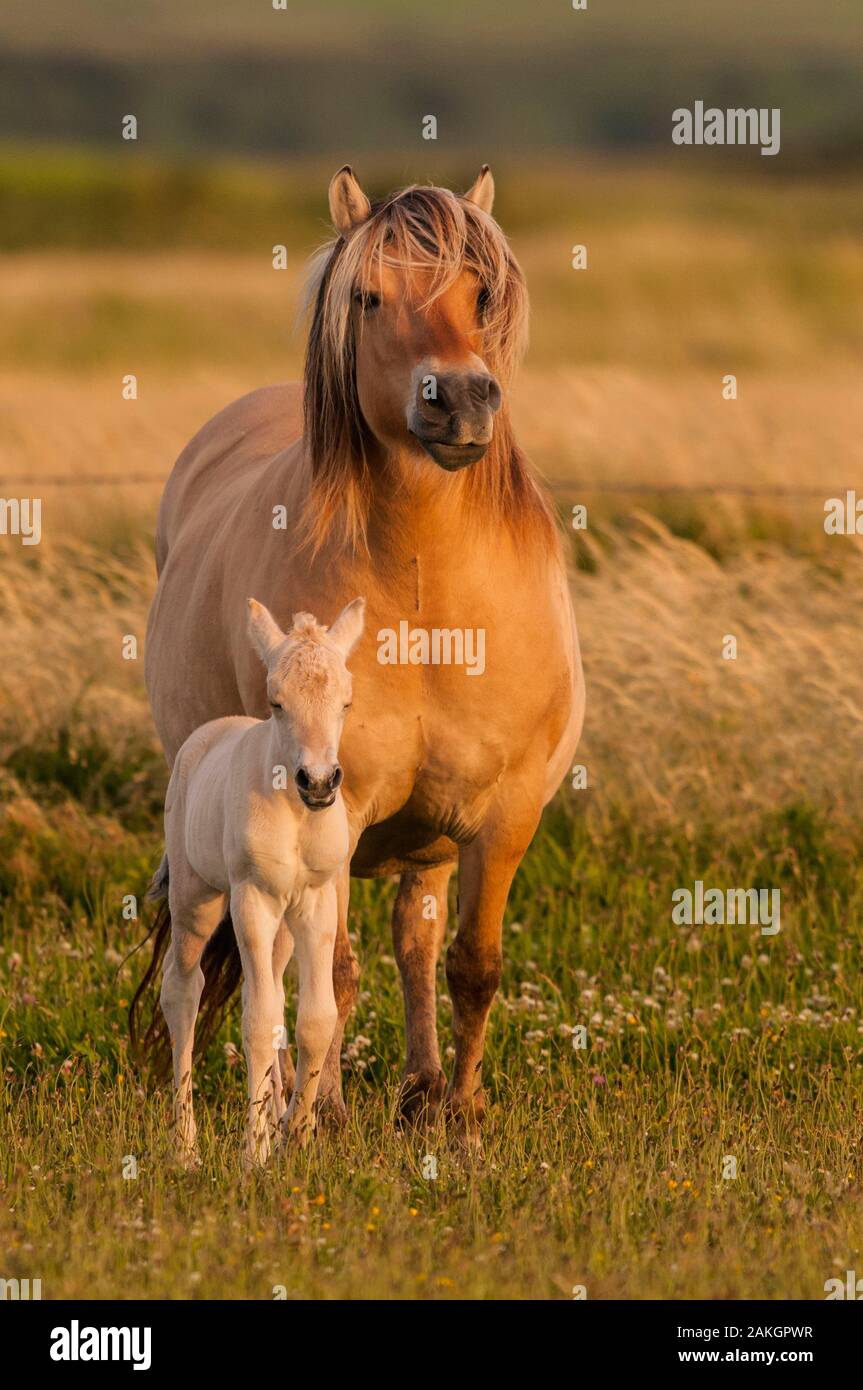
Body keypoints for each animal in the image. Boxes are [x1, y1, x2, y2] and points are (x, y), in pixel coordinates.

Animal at [152, 596, 364, 1166]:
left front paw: (296, 1139)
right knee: (183, 990)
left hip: (284, 927)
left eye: (346, 702)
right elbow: (256, 1018)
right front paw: (253, 1155)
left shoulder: (315, 902)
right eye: (276, 703)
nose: (319, 783)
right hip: (197, 897)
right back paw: (185, 1147)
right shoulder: (253, 899)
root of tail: (211, 731)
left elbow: (313, 1019)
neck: (295, 811)